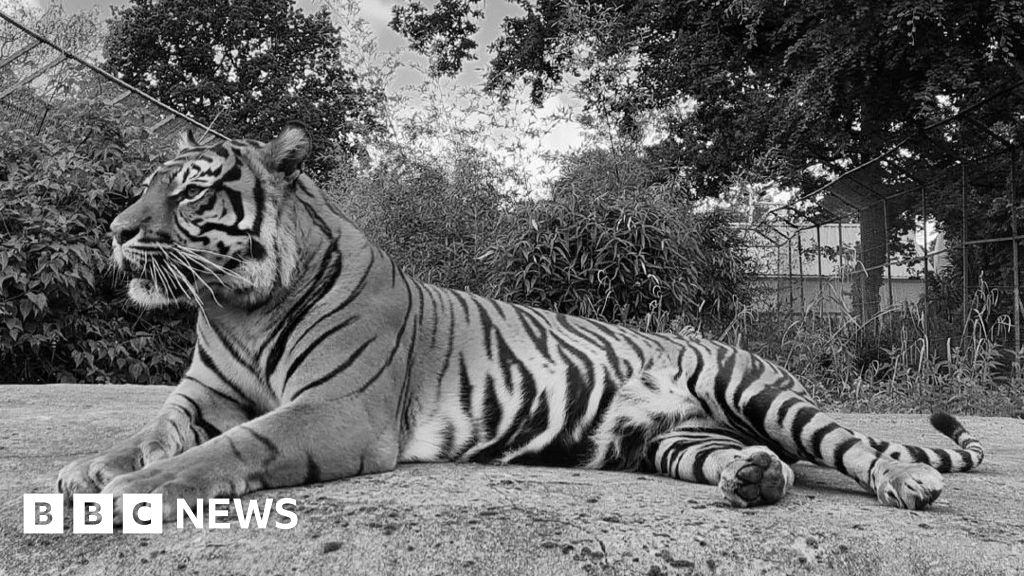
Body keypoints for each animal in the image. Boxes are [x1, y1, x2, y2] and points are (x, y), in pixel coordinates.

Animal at [58, 124, 984, 521]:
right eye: (146, 187)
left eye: (189, 191)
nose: (115, 231)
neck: (240, 304)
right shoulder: (201, 395)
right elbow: (155, 430)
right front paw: (91, 467)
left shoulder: (336, 408)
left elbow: (232, 447)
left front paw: (137, 490)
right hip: (675, 439)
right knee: (772, 467)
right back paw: (752, 478)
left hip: (758, 392)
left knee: (852, 446)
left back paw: (905, 483)